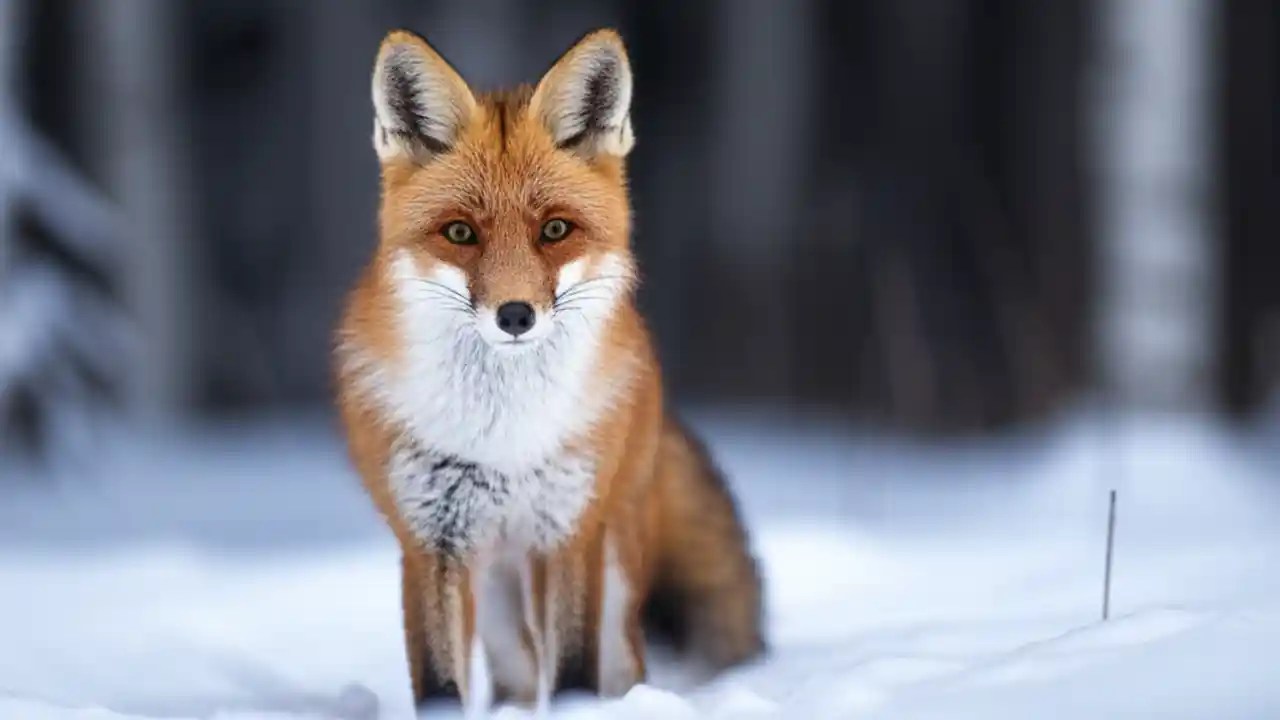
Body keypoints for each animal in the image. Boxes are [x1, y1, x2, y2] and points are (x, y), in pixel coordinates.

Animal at [333, 27, 764, 714]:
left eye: (555, 229)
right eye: (460, 233)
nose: (516, 315)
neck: (505, 436)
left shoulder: (569, 531)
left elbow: (573, 675)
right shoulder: (430, 540)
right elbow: (442, 683)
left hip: (610, 565)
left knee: (621, 664)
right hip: (497, 588)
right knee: (517, 674)